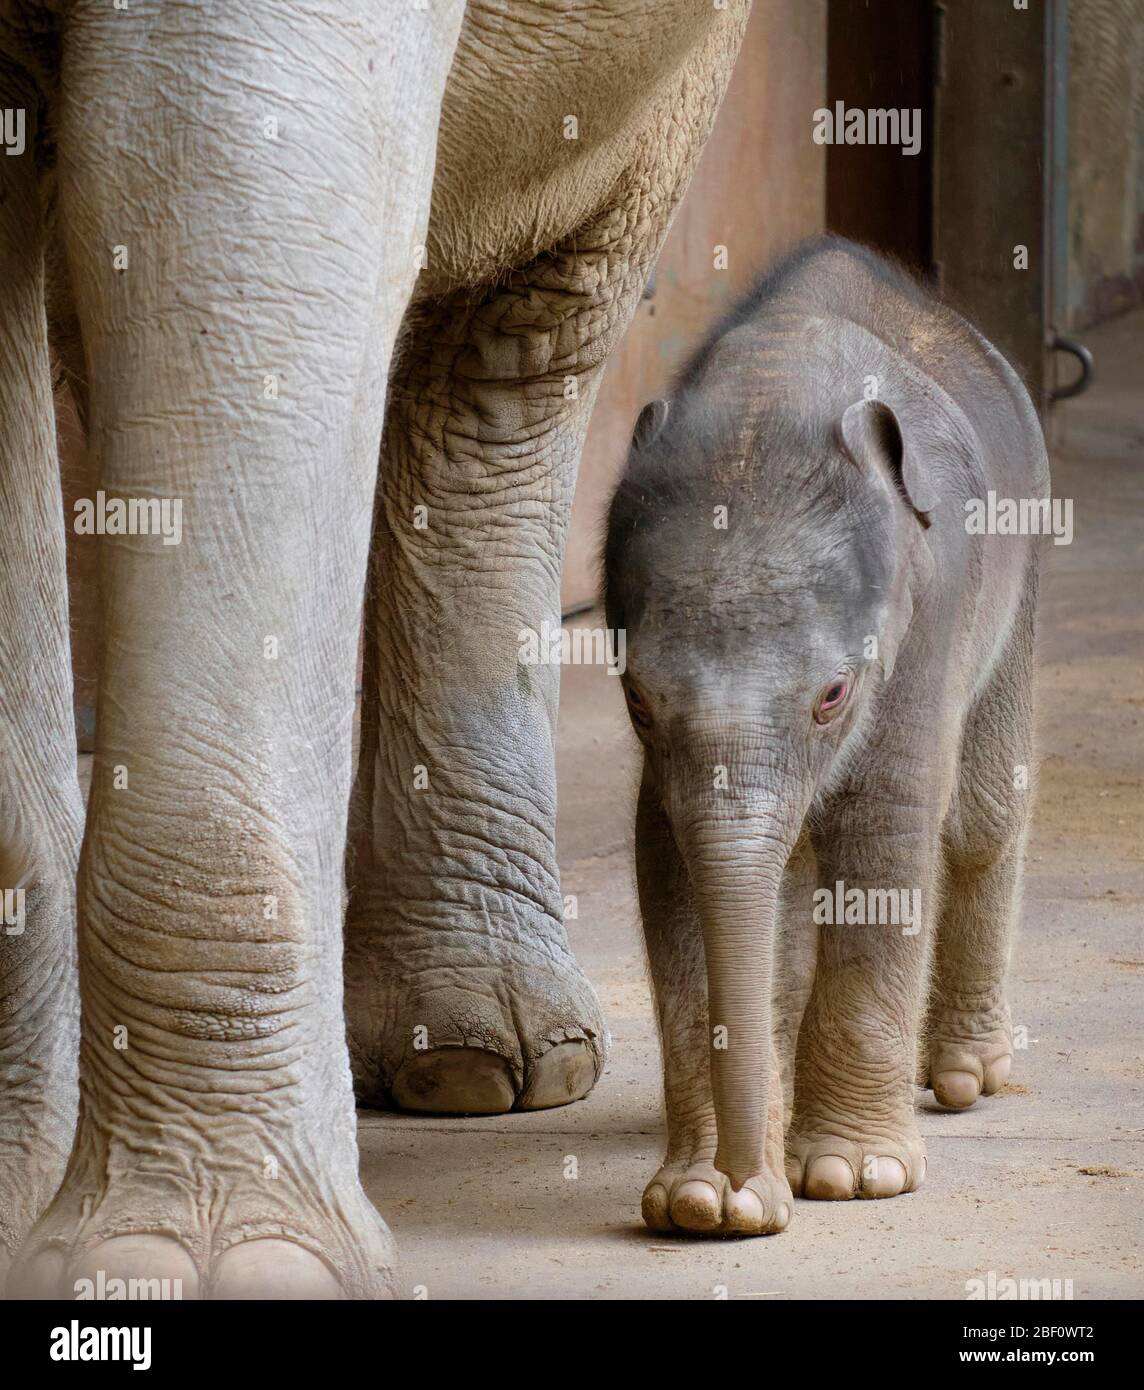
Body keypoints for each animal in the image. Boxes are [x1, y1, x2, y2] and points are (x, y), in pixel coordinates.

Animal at [603, 236, 1047, 1236]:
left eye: (835, 695)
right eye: (638, 700)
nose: (743, 1191)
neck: (769, 397)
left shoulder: (930, 612)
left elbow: (885, 833)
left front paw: (851, 1175)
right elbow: (669, 862)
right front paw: (696, 1198)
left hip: (1026, 565)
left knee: (981, 816)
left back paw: (964, 1077)